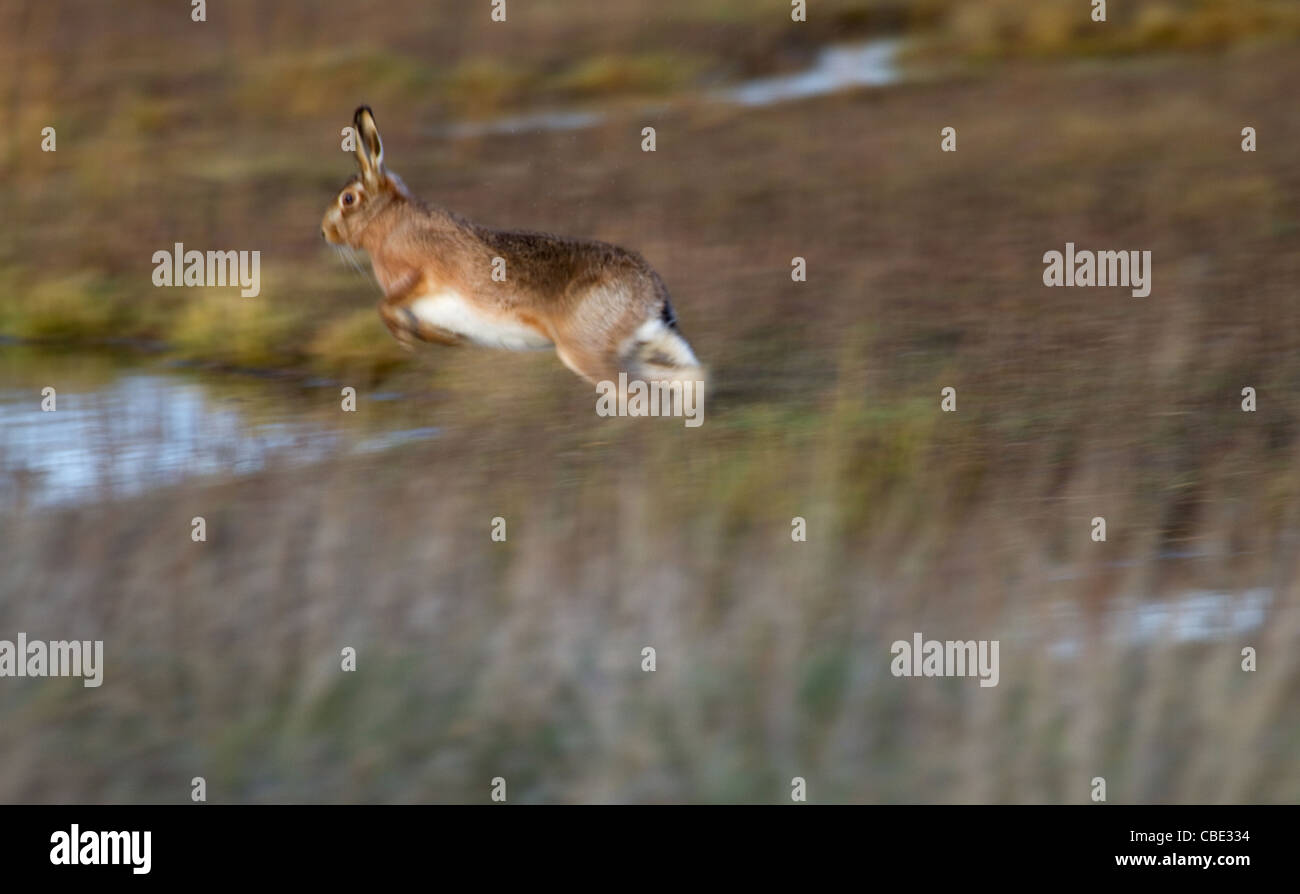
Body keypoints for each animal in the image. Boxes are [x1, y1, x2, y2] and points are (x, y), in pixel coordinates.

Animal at [322, 106, 704, 400]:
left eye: (348, 199)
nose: (325, 232)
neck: (386, 224)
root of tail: (653, 297)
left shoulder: (423, 276)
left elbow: (384, 305)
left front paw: (408, 338)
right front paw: (445, 340)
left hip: (586, 349)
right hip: (636, 350)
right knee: (687, 379)